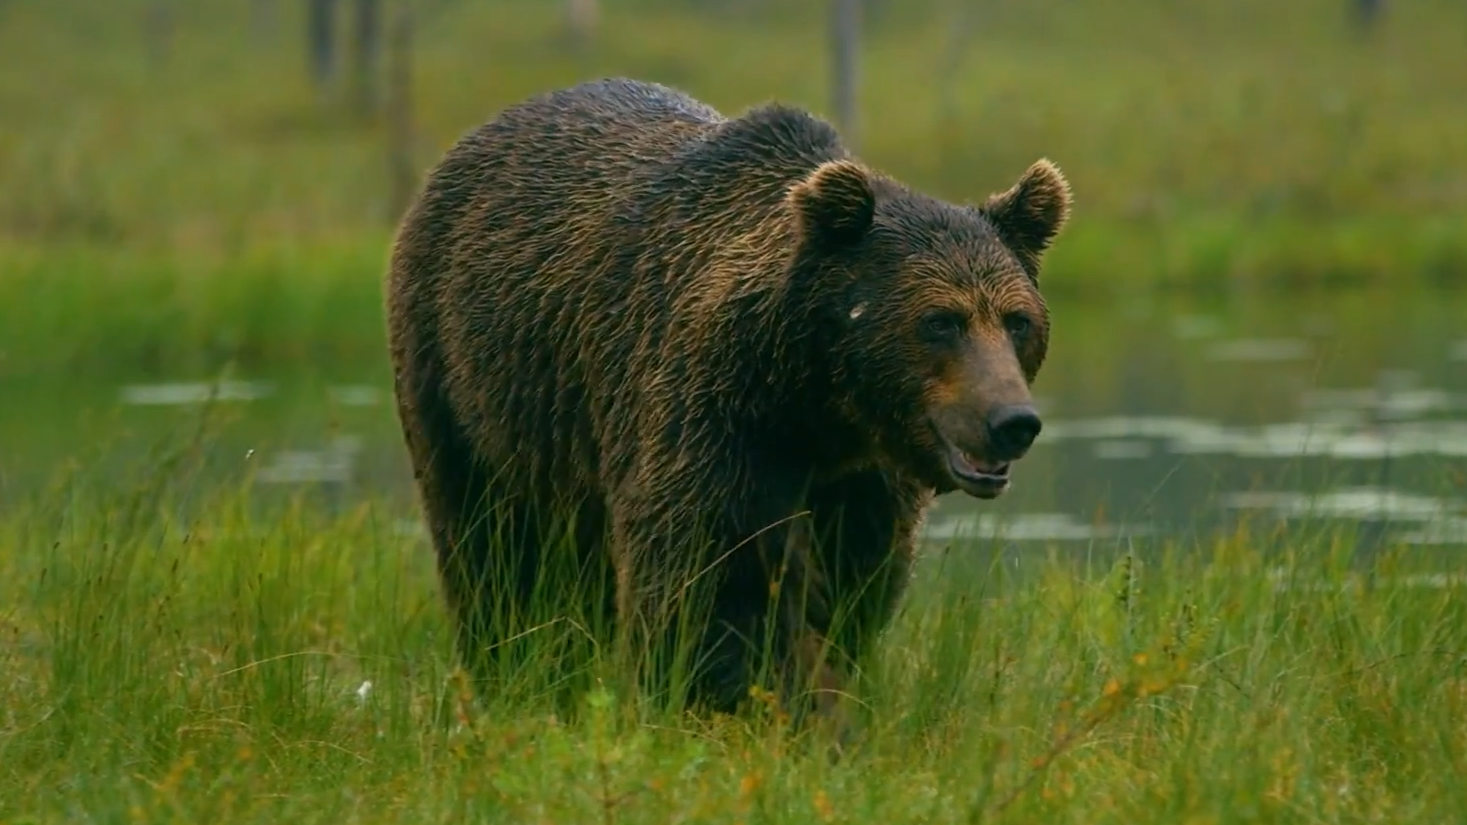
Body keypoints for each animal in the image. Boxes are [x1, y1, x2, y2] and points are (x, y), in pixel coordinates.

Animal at [384, 77, 1070, 726]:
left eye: (1016, 321)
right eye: (940, 321)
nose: (1010, 422)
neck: (818, 402)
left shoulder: (860, 482)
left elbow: (849, 586)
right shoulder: (710, 415)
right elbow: (709, 578)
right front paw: (739, 698)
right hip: (467, 379)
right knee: (491, 546)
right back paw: (511, 664)